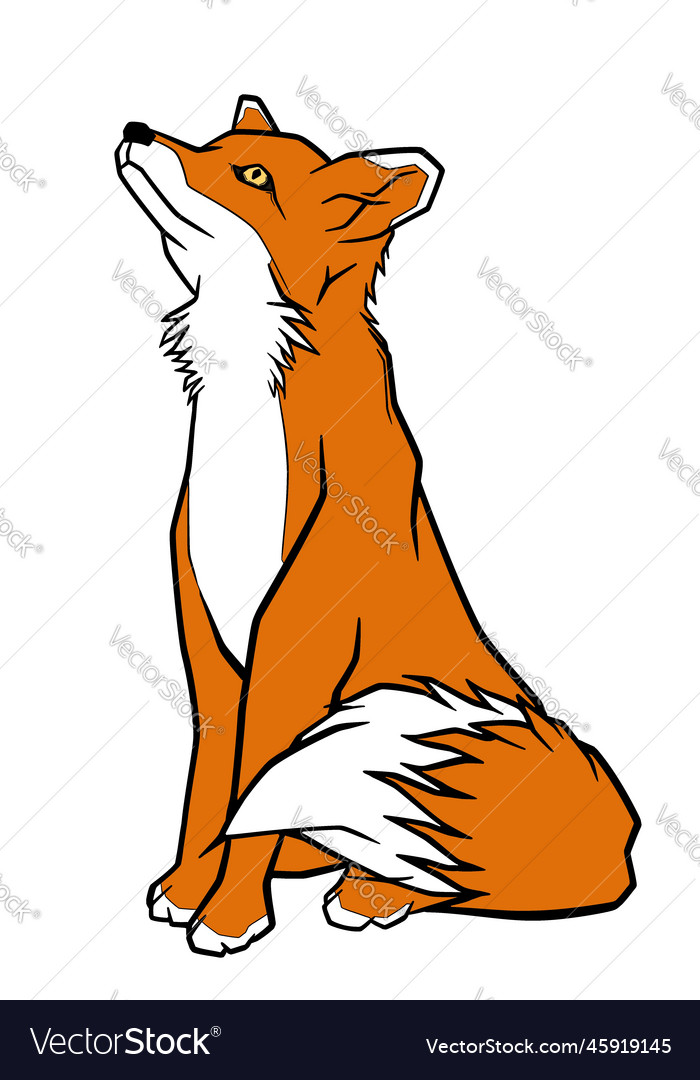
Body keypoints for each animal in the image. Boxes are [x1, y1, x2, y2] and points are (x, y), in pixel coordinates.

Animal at [115, 95, 639, 957]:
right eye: (213, 145)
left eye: (250, 175)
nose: (135, 132)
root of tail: (622, 835)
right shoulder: (210, 644)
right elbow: (210, 793)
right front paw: (187, 890)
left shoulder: (296, 643)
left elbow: (249, 799)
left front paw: (228, 917)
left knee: (458, 876)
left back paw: (371, 892)